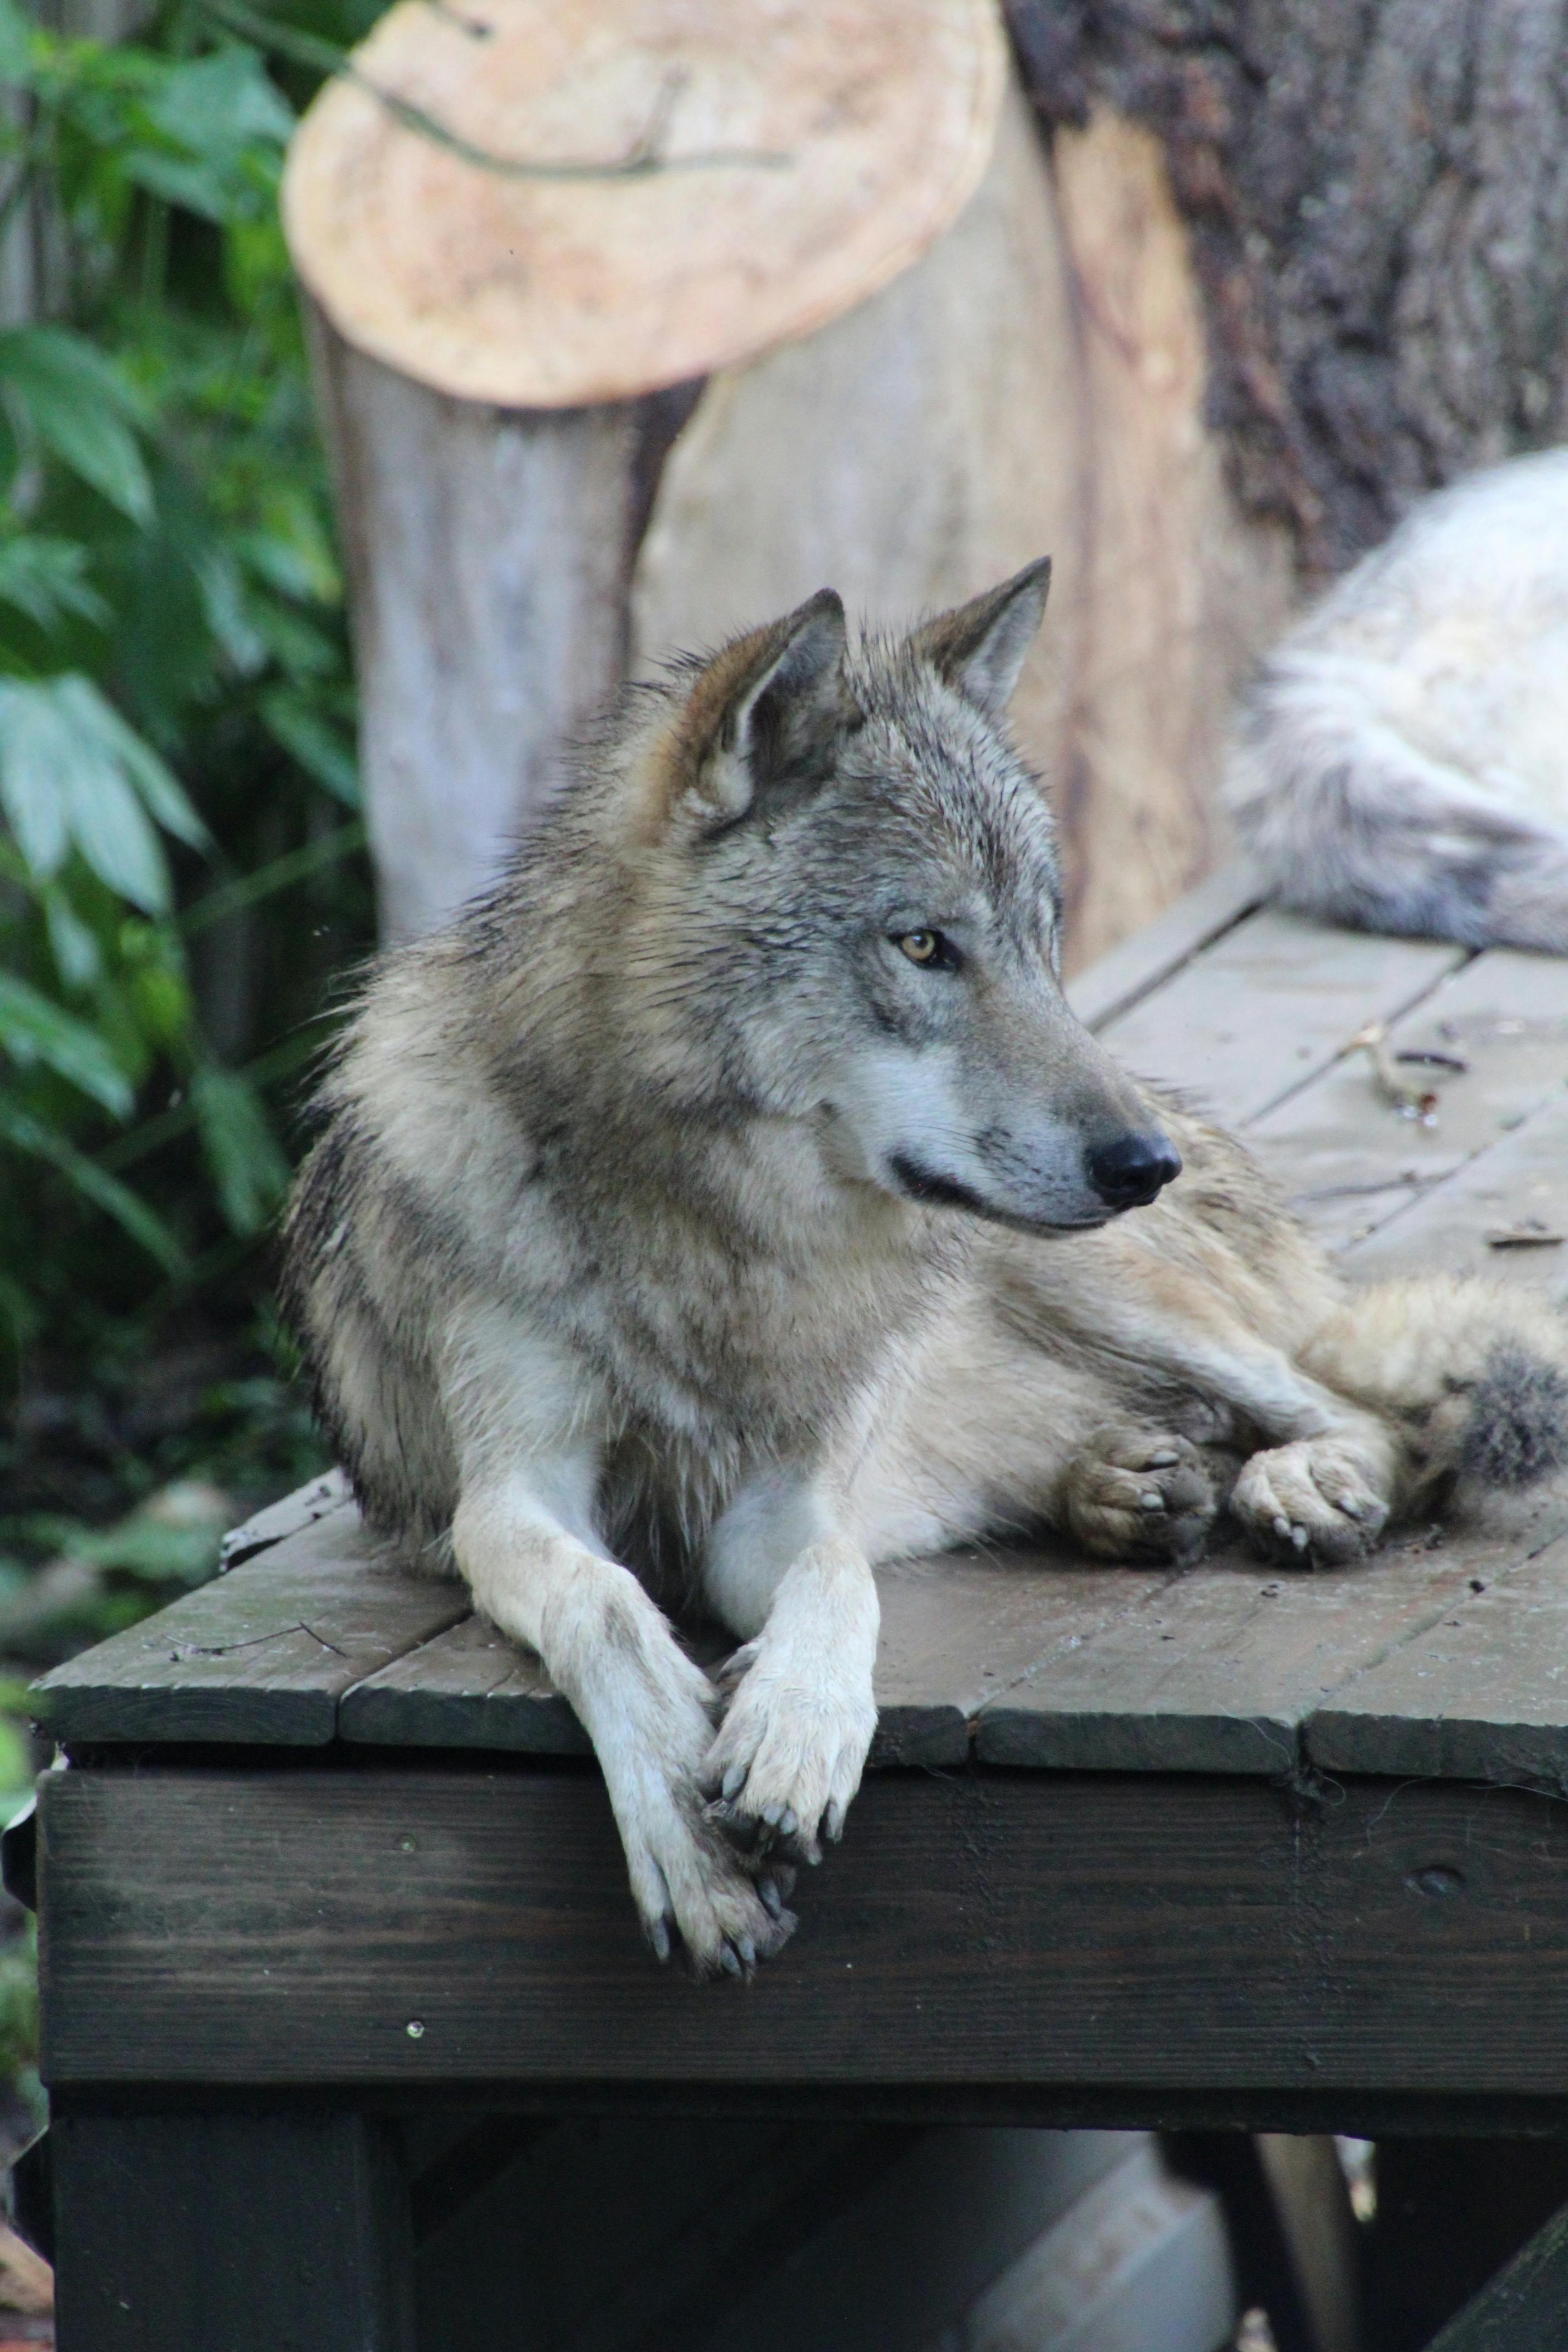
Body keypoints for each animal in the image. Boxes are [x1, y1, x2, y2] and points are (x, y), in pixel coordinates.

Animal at [283, 561, 1568, 1976]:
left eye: (1042, 943)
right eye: (921, 946)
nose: (1143, 1163)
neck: (717, 1237)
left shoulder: (779, 1500)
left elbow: (834, 1577)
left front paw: (793, 1734)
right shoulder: (509, 1495)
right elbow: (610, 1603)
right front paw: (687, 1826)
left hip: (1093, 1286)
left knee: (1367, 1414)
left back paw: (1295, 1481)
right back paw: (1125, 1485)